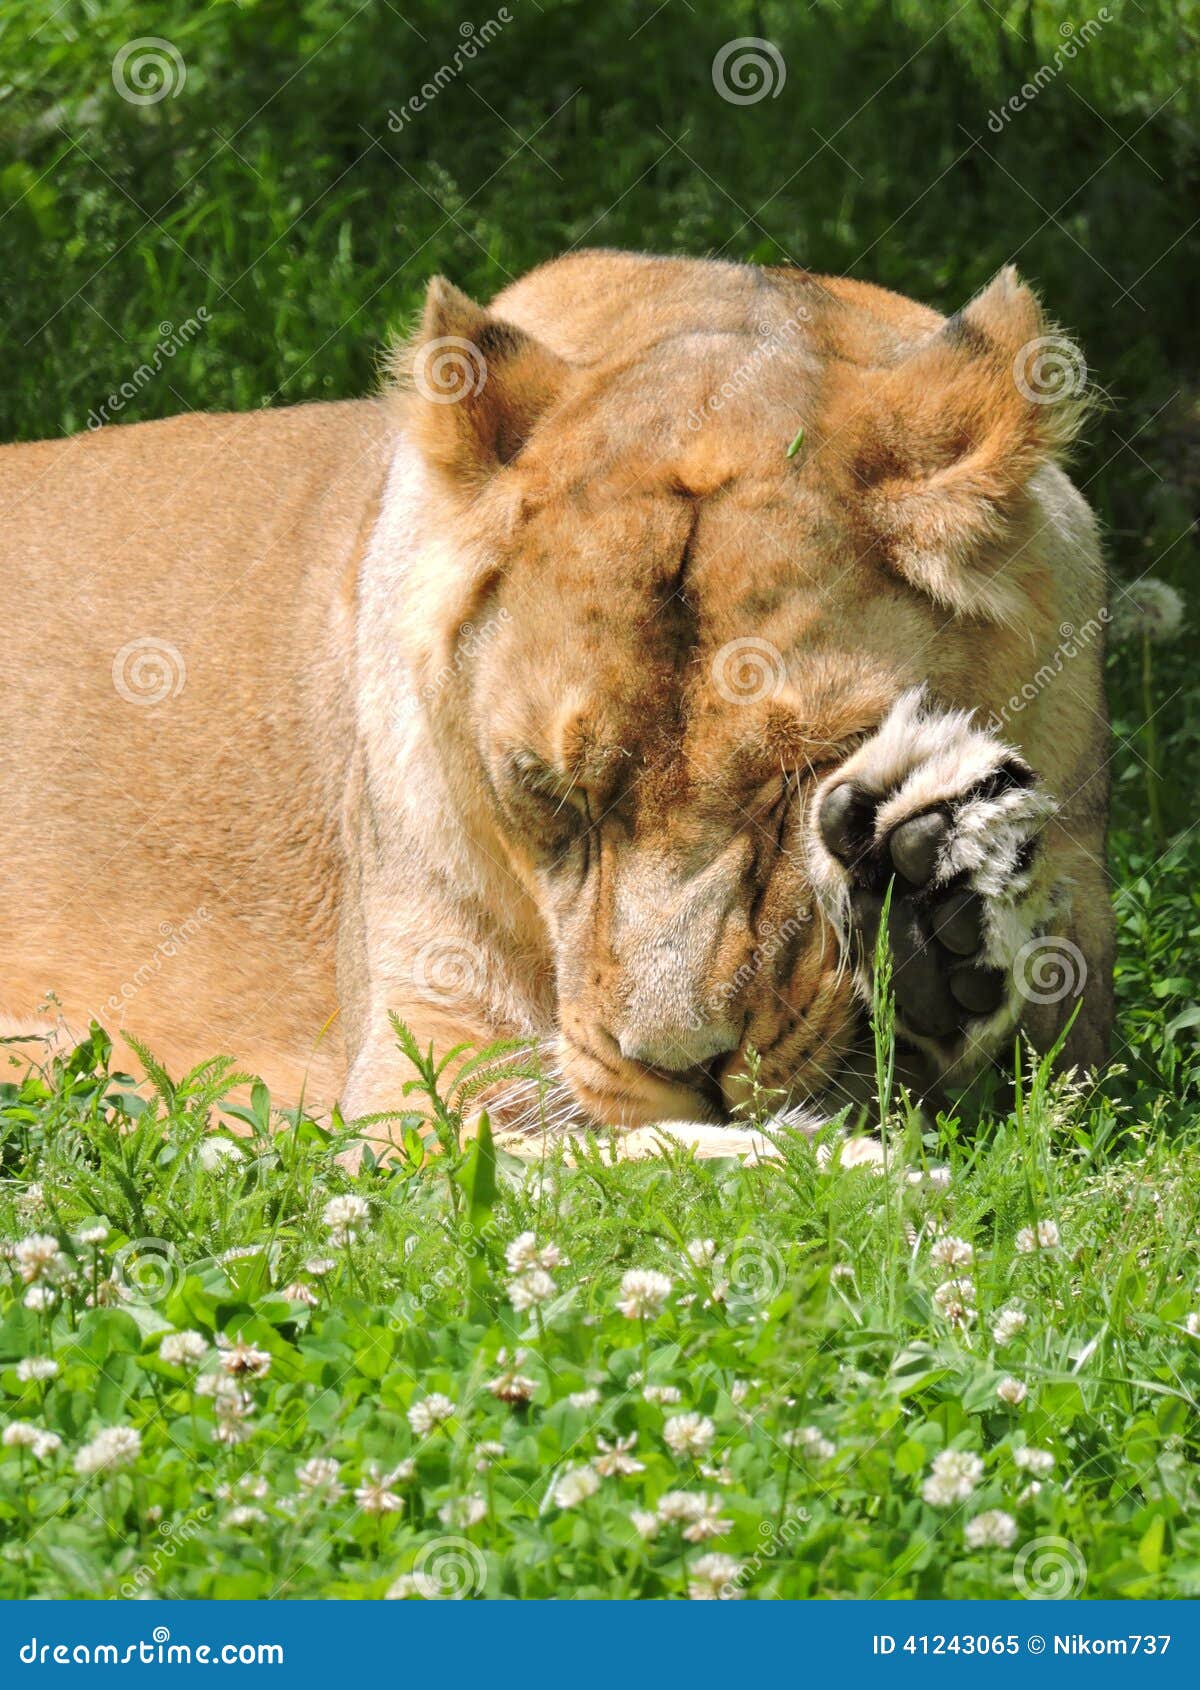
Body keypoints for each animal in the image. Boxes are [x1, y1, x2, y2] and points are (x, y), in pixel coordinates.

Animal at [0, 250, 1112, 1158]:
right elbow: (618, 1158)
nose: (682, 1066)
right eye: (548, 791)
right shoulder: (422, 1070)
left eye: (810, 769)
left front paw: (933, 914)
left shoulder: (1090, 1024)